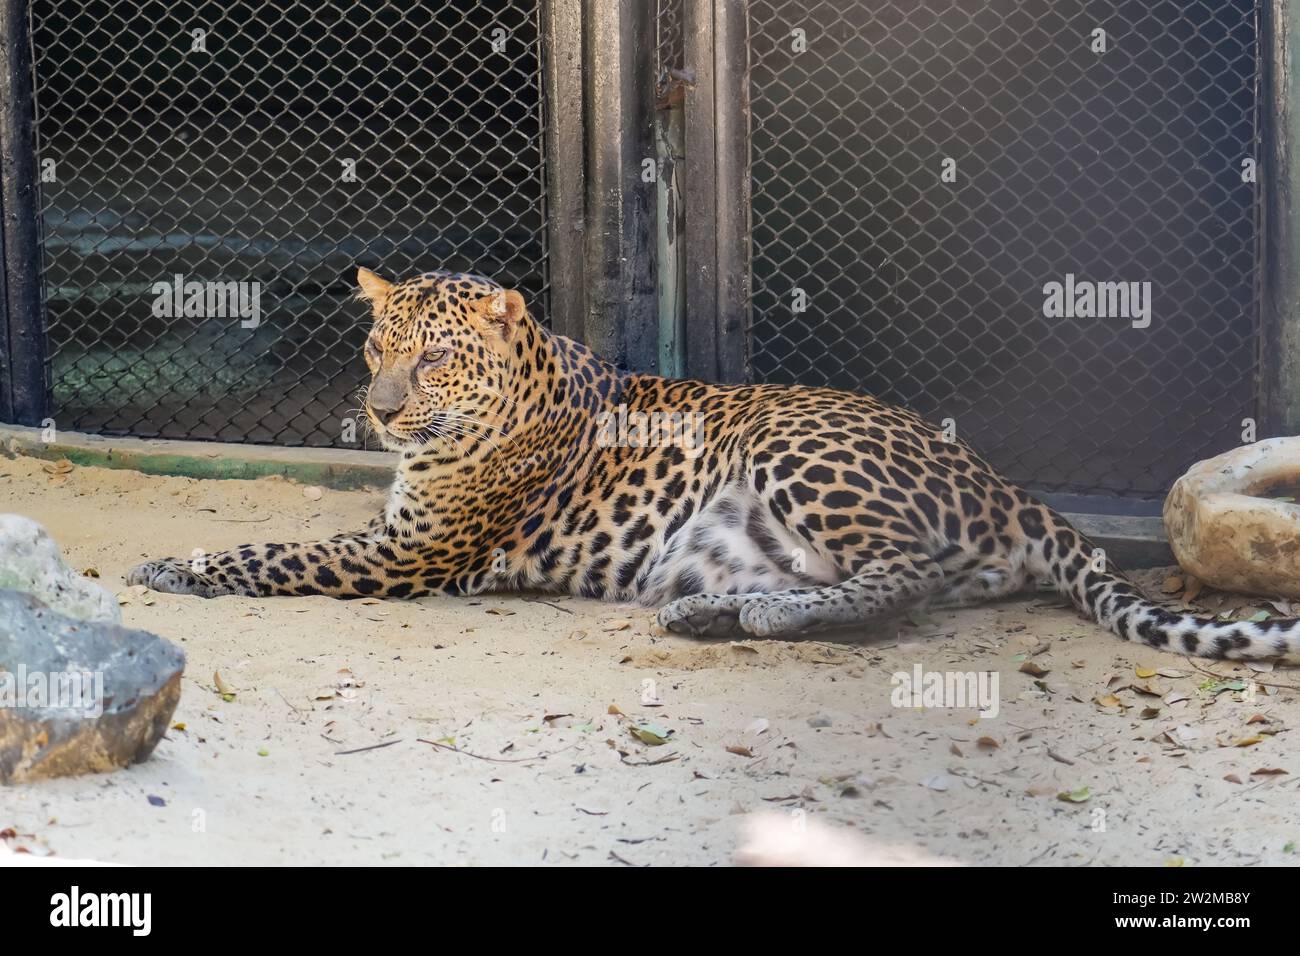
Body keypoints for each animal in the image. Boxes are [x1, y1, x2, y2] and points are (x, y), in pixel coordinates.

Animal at [127, 267, 1300, 663]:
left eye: (435, 359)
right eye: (376, 348)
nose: (378, 410)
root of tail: (1008, 488)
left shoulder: (412, 553)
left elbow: (275, 553)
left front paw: (174, 568)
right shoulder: (398, 534)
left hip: (795, 444)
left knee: (904, 575)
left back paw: (750, 617)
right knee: (882, 587)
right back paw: (716, 612)